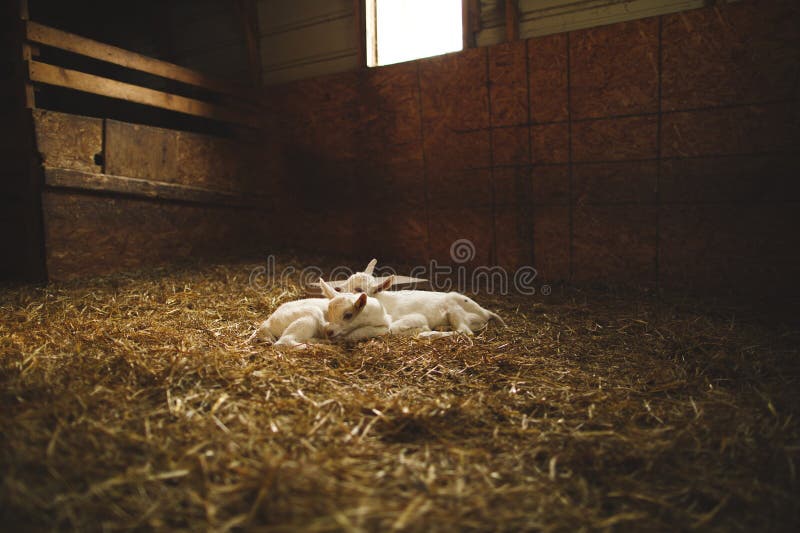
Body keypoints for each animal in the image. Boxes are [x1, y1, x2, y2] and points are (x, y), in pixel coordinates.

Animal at [249, 278, 391, 348]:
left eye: (348, 315)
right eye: (329, 312)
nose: (328, 331)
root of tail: (266, 325)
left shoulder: (385, 322)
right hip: (309, 316)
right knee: (284, 342)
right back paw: (316, 345)